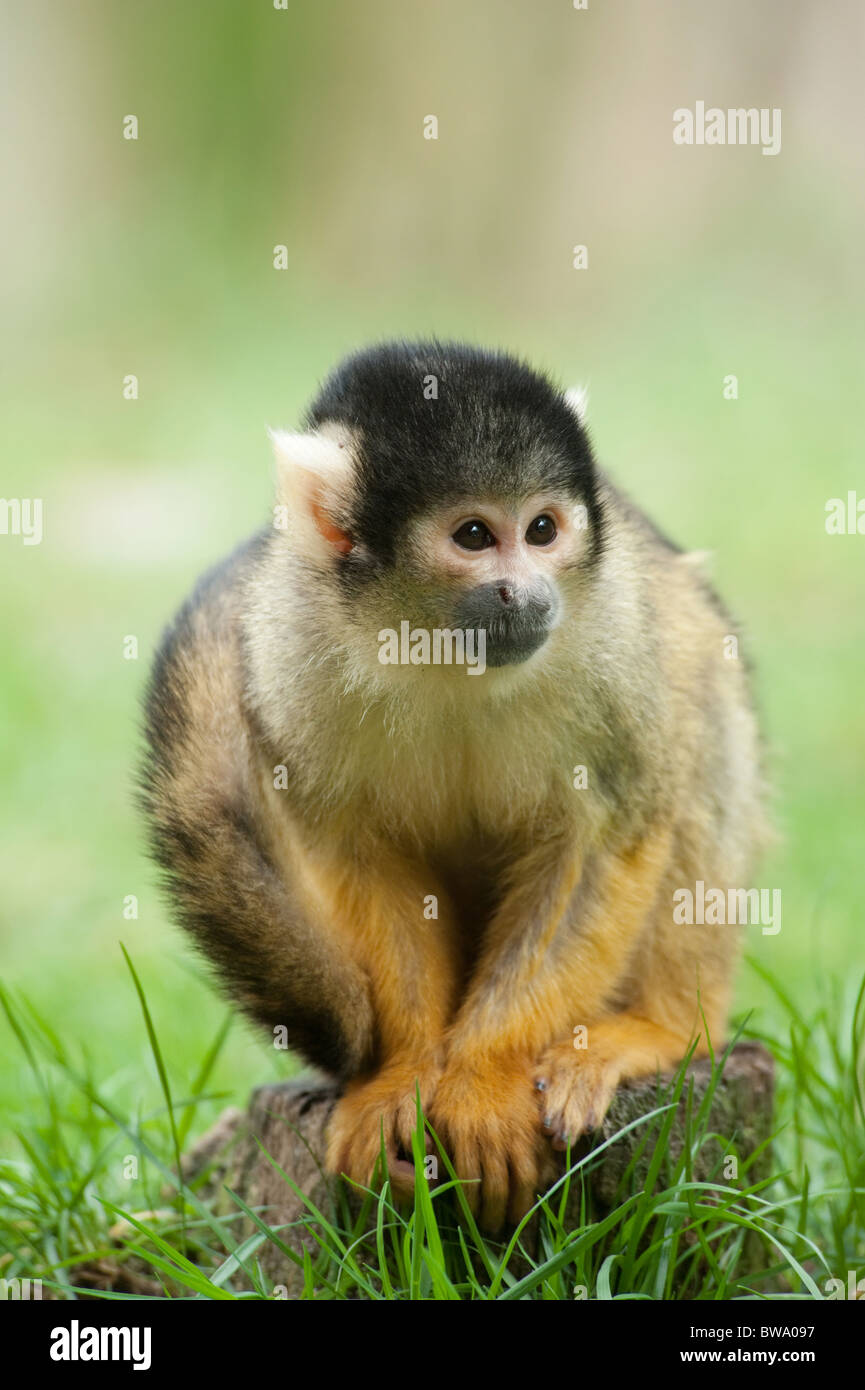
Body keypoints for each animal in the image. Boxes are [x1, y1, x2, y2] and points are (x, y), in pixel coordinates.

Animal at [140, 339, 769, 1233]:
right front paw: (399, 1076)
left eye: (542, 529)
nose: (529, 591)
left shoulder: (615, 634)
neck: (434, 647)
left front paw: (481, 1080)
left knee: (699, 720)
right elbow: (363, 857)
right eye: (474, 535)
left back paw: (661, 1028)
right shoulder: (288, 643)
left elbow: (607, 838)